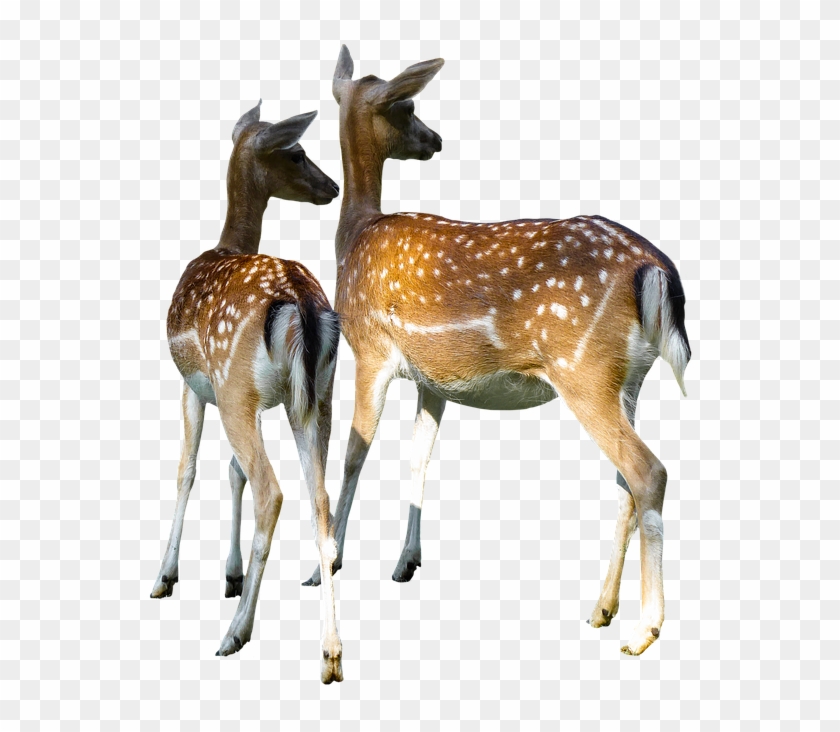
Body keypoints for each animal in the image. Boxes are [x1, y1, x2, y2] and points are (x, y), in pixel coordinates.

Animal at [149, 101, 346, 683]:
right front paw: (229, 574)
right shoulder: (239, 397)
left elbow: (187, 471)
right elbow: (229, 471)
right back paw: (331, 654)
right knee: (320, 499)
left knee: (273, 491)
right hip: (317, 398)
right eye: (298, 152)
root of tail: (298, 299)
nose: (331, 186)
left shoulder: (196, 385)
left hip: (237, 388)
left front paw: (165, 577)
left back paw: (235, 633)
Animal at [302, 46, 692, 657]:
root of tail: (656, 269)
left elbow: (353, 455)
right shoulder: (433, 381)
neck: (354, 237)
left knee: (649, 470)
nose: (434, 139)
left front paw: (327, 565)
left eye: (408, 102)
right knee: (627, 481)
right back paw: (602, 608)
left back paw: (644, 629)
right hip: (629, 378)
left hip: (582, 369)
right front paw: (405, 562)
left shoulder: (370, 348)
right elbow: (419, 459)